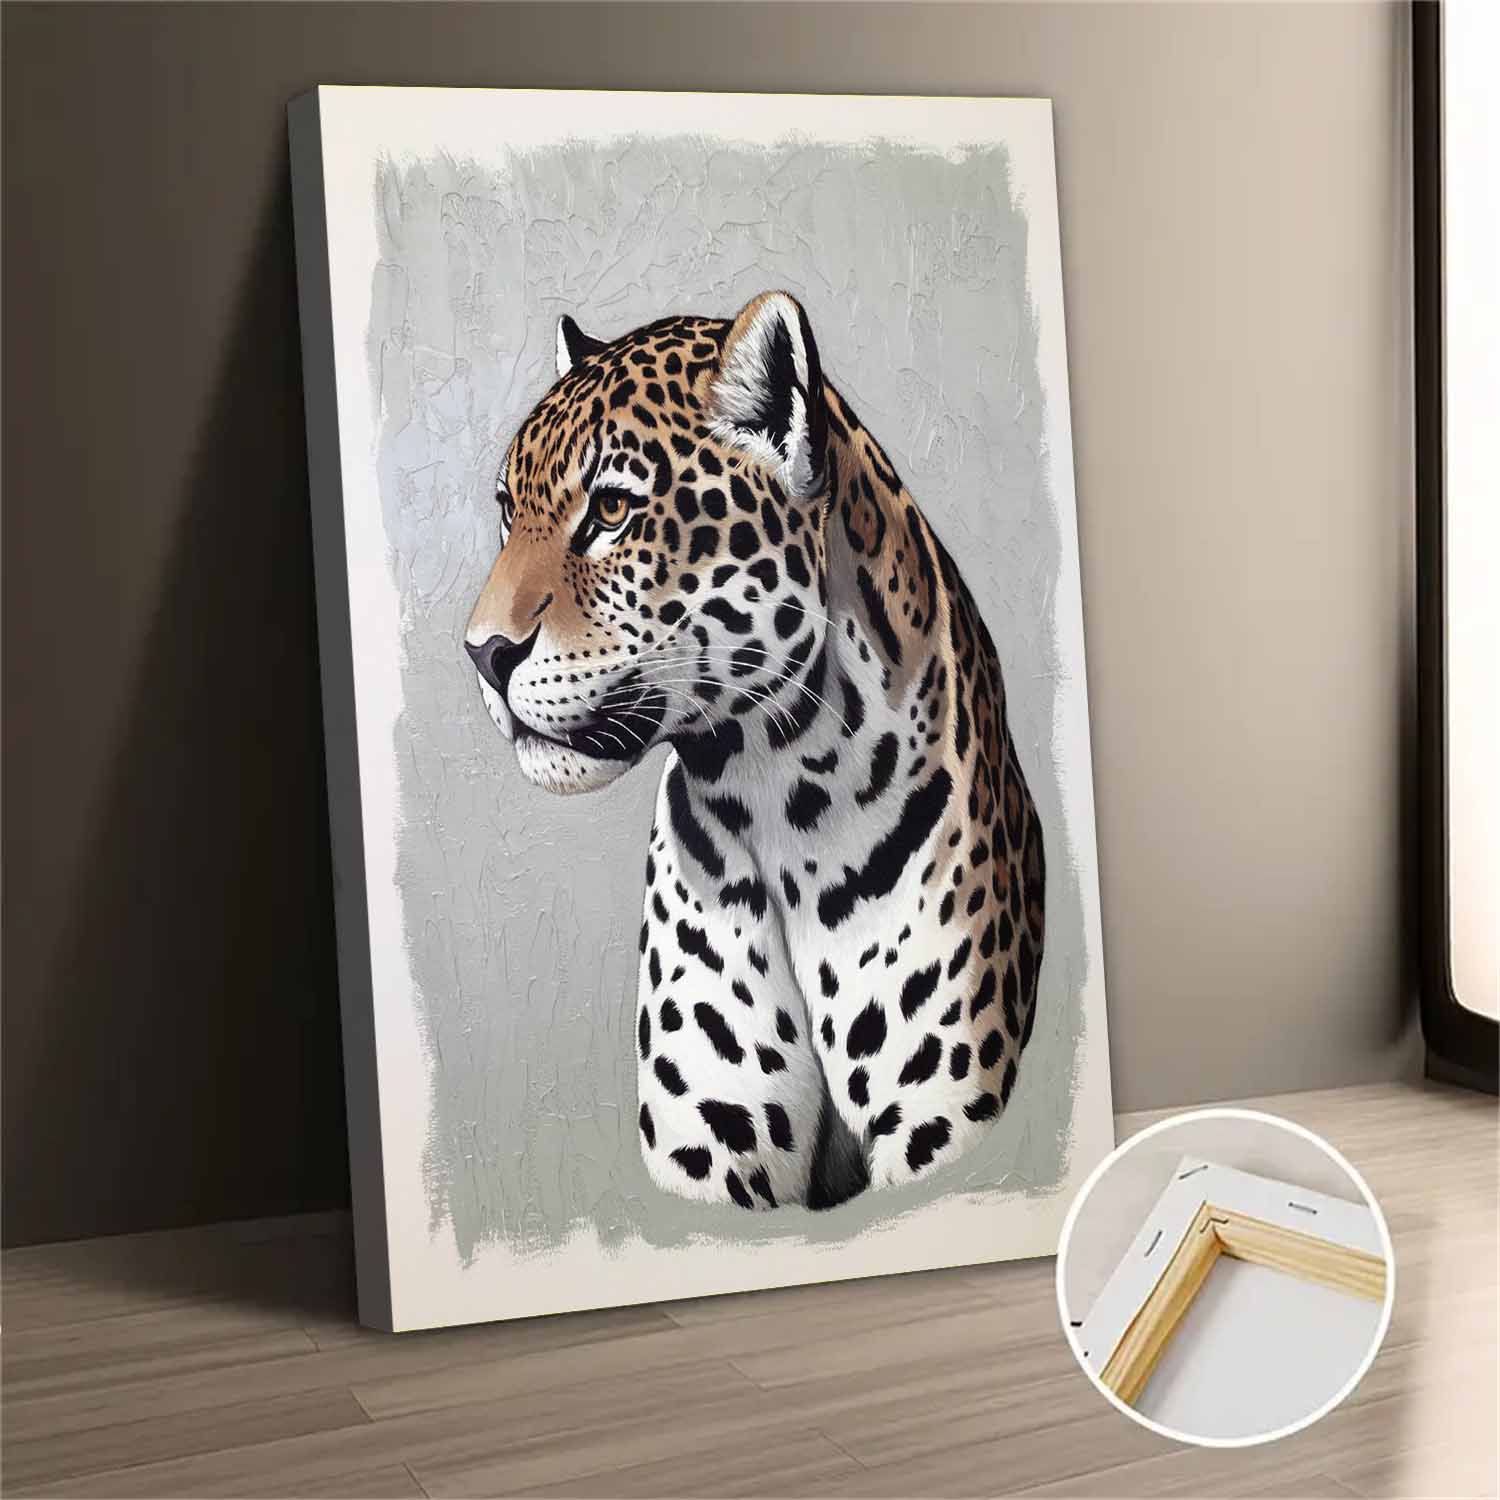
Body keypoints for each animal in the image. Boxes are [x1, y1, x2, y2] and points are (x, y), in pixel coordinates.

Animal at [465, 291, 1046, 1211]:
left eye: (612, 510)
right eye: (505, 512)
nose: (483, 652)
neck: (772, 792)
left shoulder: (943, 1123)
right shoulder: (714, 1135)